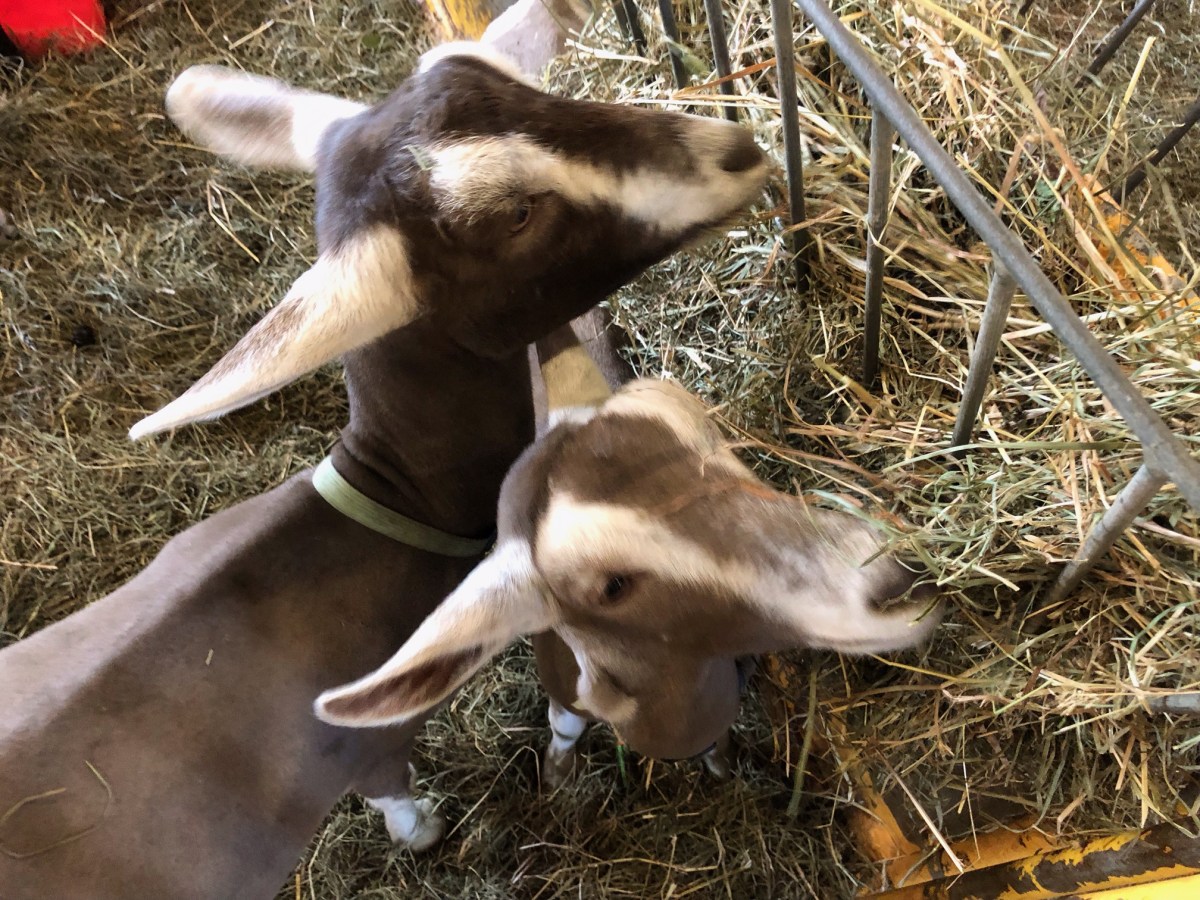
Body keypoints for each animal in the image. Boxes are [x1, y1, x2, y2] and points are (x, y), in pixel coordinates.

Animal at [0, 38, 768, 900]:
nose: (736, 151)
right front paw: (424, 831)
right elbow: (392, 791)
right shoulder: (360, 749)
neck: (382, 503)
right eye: (515, 217)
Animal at [315, 327, 943, 786]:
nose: (894, 576)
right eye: (611, 588)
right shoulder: (566, 691)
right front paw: (558, 777)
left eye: (712, 446)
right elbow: (564, 728)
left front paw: (721, 767)